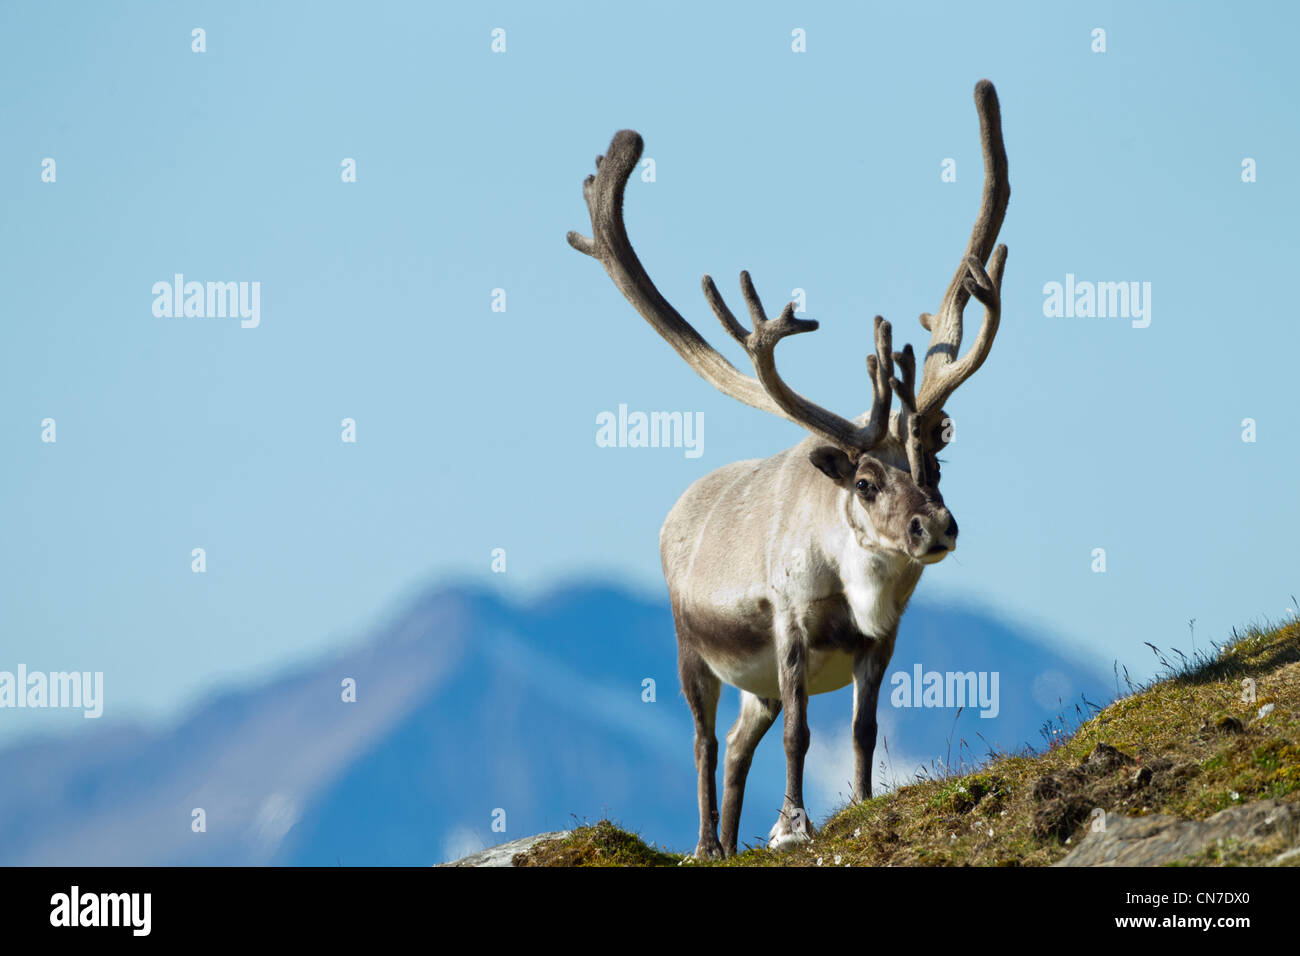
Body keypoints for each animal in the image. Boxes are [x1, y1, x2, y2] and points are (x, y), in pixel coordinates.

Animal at [567, 80, 1009, 859]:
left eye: (935, 462)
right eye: (864, 483)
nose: (935, 528)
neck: (857, 579)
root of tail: (678, 508)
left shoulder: (880, 641)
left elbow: (862, 730)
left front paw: (860, 802)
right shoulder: (791, 626)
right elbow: (802, 736)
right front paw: (792, 824)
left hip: (756, 686)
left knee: (740, 747)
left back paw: (728, 838)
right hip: (694, 651)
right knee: (706, 743)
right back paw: (708, 843)